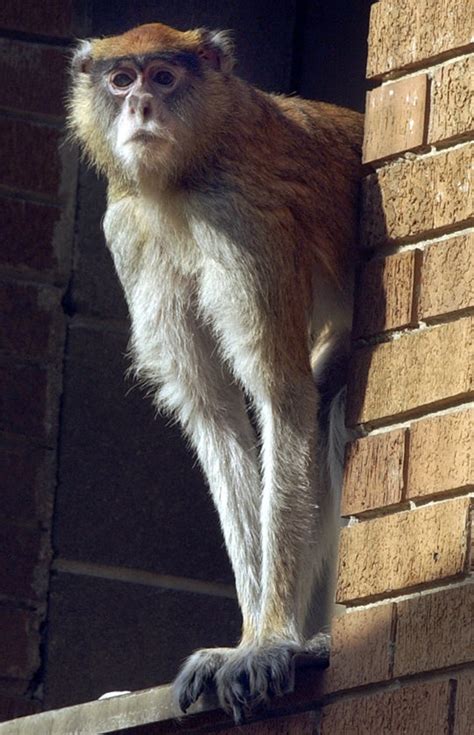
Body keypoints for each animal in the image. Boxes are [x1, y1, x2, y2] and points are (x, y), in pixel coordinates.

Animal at [67, 22, 363, 723]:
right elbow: (216, 417)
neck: (186, 174)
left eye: (164, 77)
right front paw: (246, 640)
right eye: (121, 79)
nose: (141, 107)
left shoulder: (243, 219)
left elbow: (283, 394)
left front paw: (269, 641)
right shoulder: (128, 230)